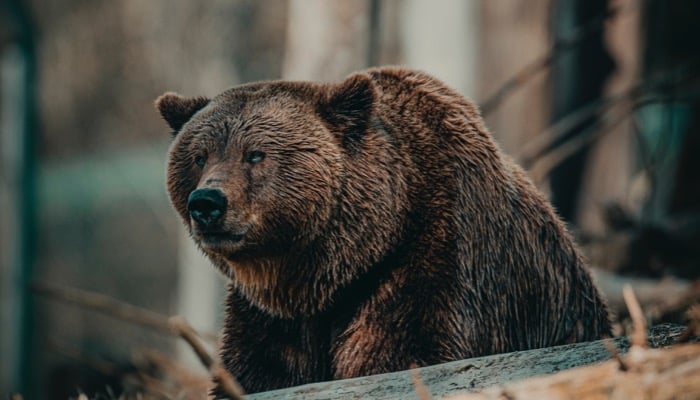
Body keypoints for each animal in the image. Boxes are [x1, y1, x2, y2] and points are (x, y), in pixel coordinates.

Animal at [155, 67, 611, 394]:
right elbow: (257, 370)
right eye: (199, 156)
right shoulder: (273, 316)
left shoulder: (436, 257)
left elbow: (403, 352)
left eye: (255, 154)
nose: (206, 203)